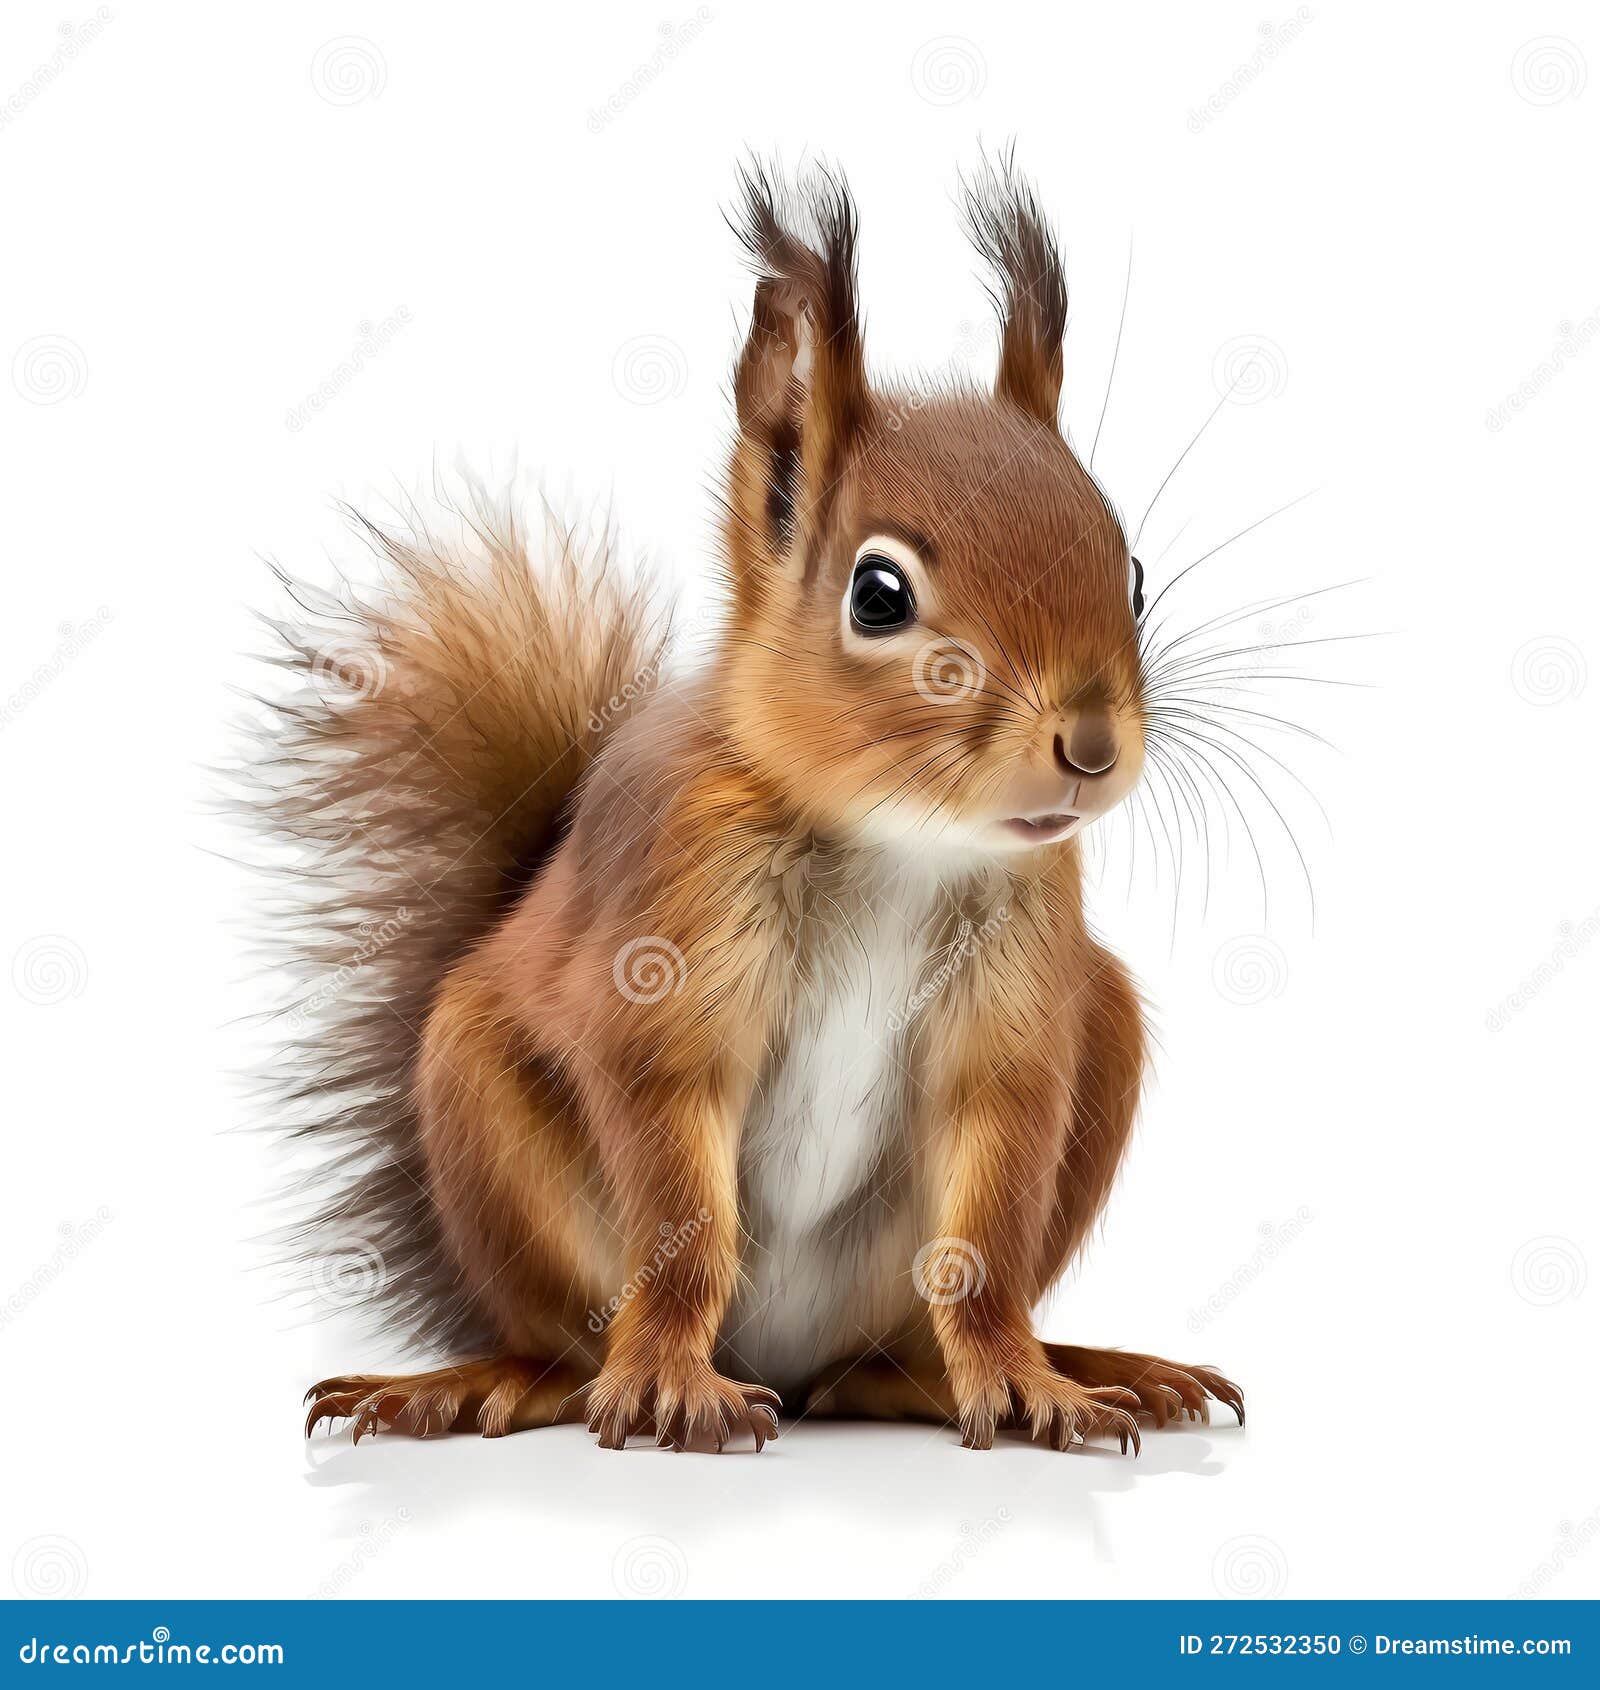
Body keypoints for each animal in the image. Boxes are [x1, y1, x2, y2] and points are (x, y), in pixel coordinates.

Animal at [253, 158, 1244, 1454]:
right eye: (877, 594)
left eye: (1127, 573)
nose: (1088, 744)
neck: (898, 848)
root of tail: (782, 1359)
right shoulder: (666, 959)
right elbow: (679, 1203)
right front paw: (672, 1380)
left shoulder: (1017, 1012)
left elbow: (982, 1239)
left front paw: (1024, 1380)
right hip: (482, 1100)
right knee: (570, 1349)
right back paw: (487, 1382)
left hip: (1097, 1035)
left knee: (878, 1363)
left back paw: (1055, 1369)